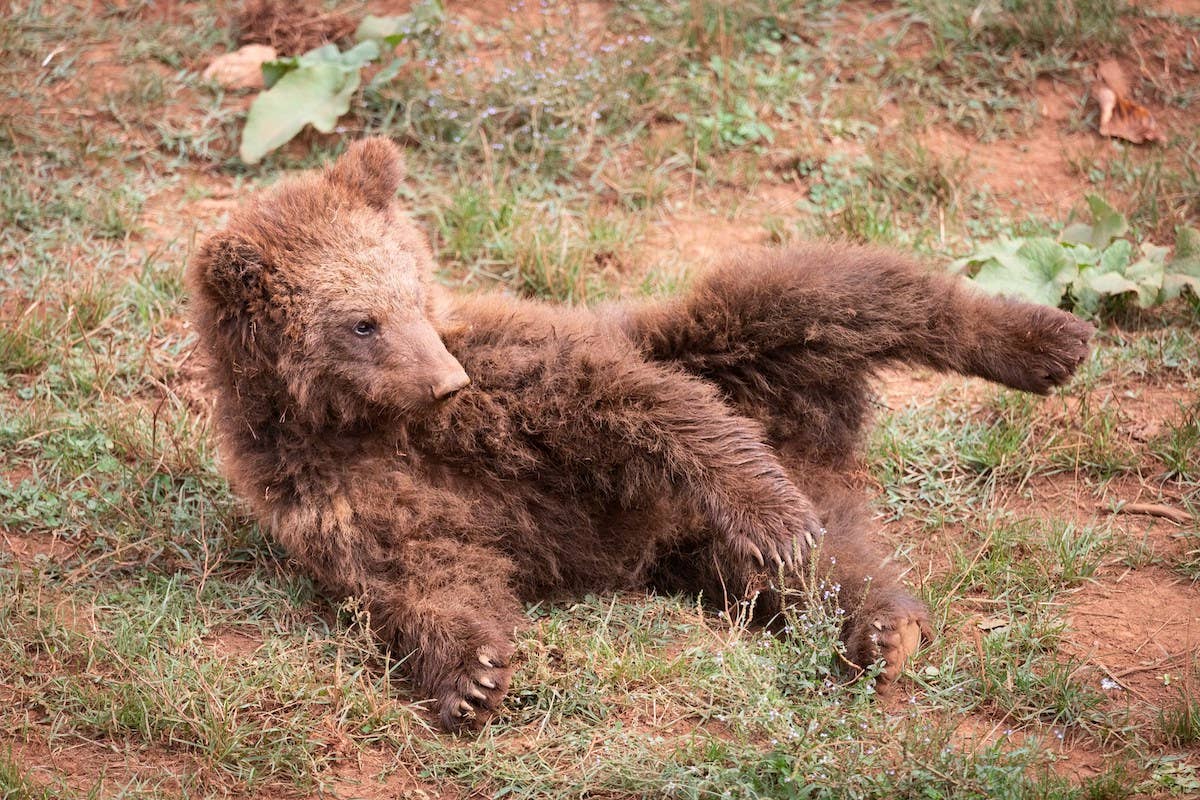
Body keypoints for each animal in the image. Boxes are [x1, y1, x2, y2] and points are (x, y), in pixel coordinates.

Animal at [187, 138, 1094, 731]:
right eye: (362, 321)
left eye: (410, 286)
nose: (444, 379)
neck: (367, 423)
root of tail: (820, 441)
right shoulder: (336, 491)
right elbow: (425, 573)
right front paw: (471, 676)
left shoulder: (523, 379)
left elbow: (638, 405)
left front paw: (769, 512)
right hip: (709, 544)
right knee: (832, 560)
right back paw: (879, 628)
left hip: (731, 343)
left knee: (836, 292)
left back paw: (1047, 341)